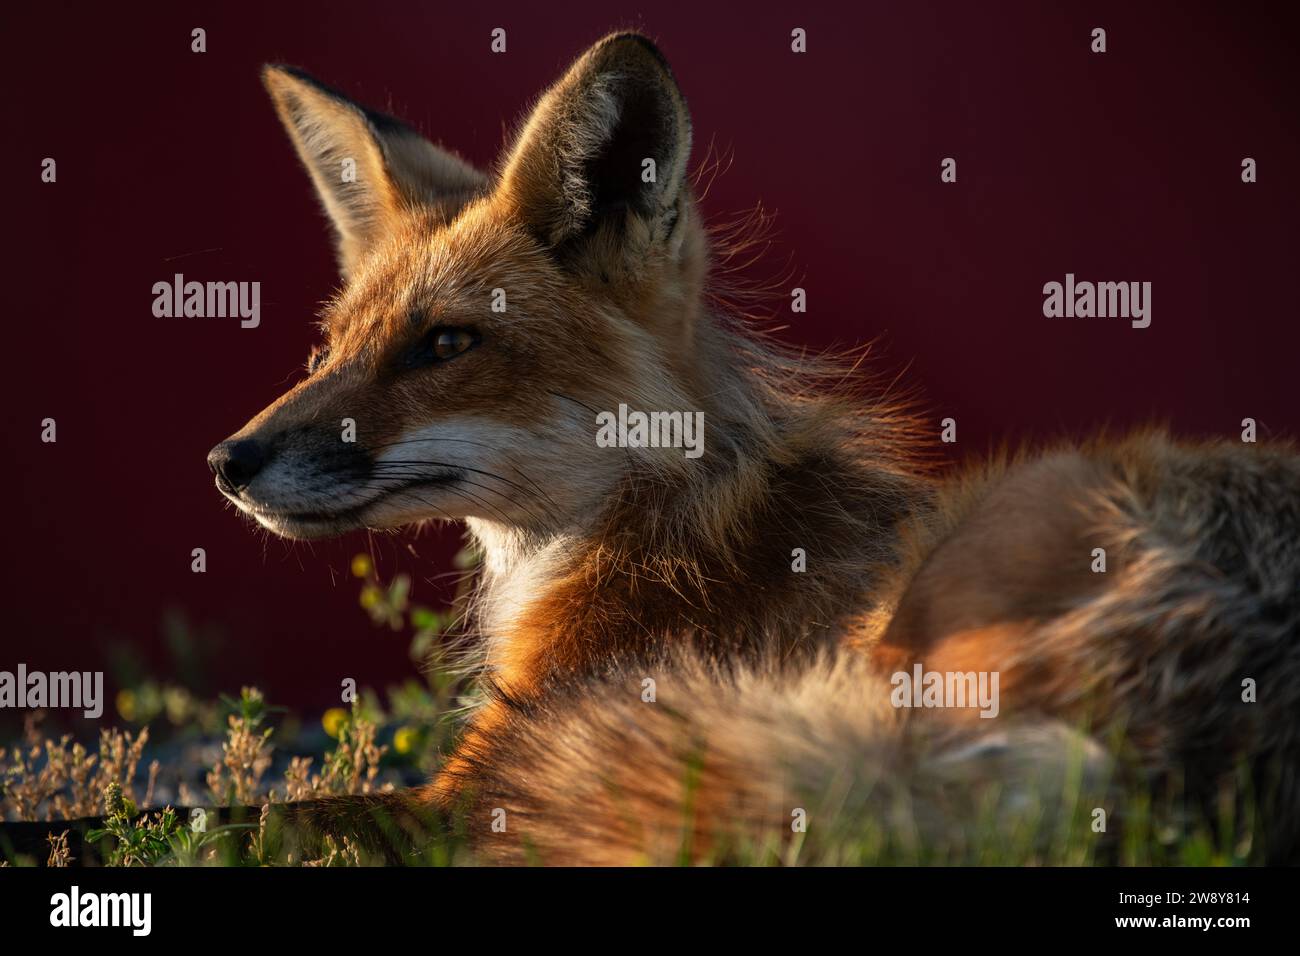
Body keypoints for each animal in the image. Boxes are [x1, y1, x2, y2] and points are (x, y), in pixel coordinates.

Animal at [202, 32, 1299, 865]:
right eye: (329, 347)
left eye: (443, 344)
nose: (228, 462)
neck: (652, 526)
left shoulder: (456, 797)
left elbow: (229, 817)